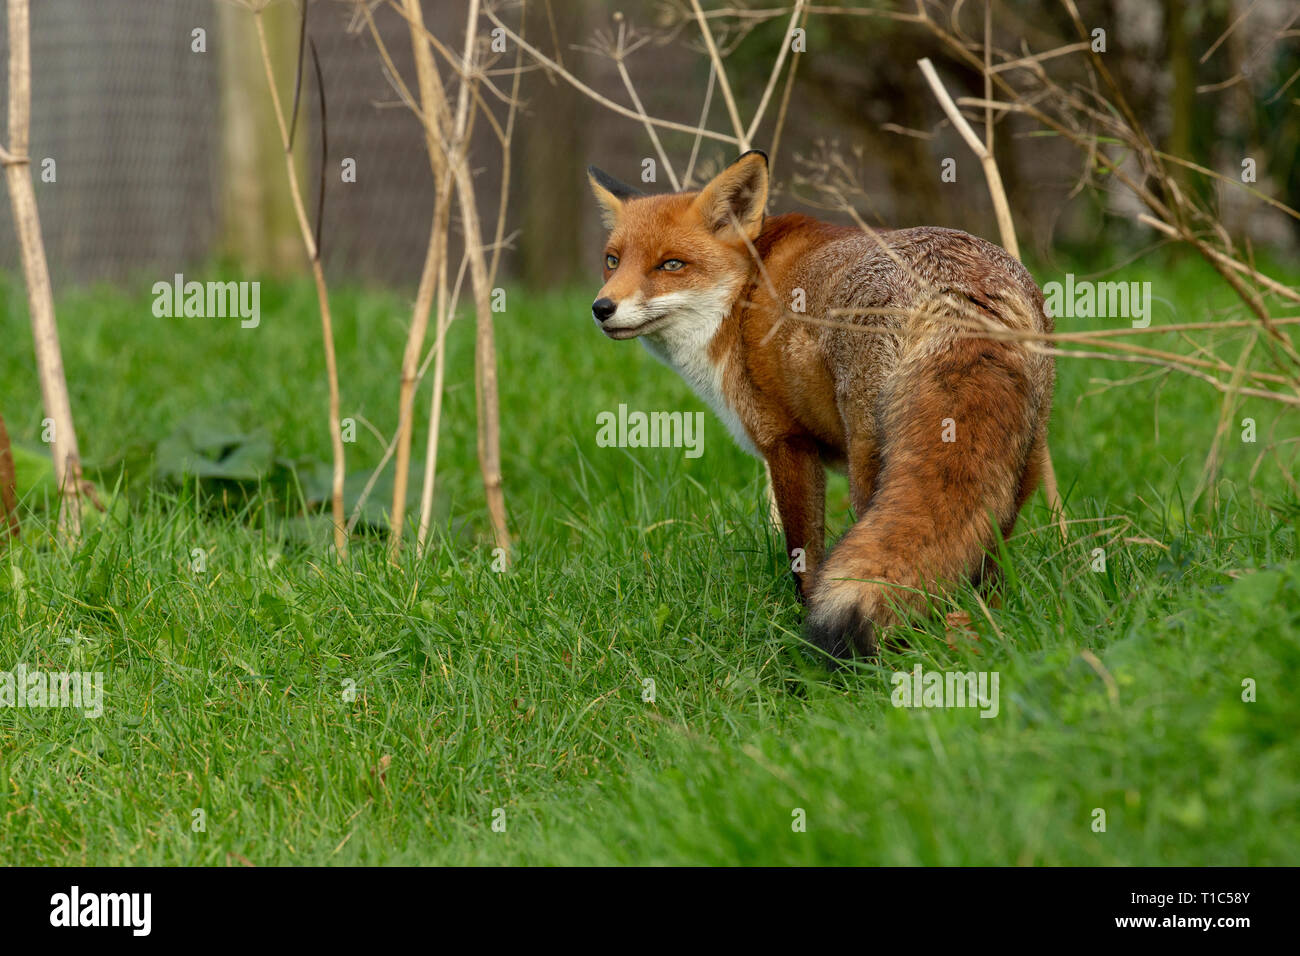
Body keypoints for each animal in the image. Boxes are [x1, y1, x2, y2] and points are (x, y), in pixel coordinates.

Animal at [587, 149, 1054, 661]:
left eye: (671, 264)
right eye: (612, 261)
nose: (601, 308)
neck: (745, 294)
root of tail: (957, 285)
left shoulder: (786, 441)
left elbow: (803, 555)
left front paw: (804, 617)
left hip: (869, 460)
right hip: (1020, 464)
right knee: (981, 562)